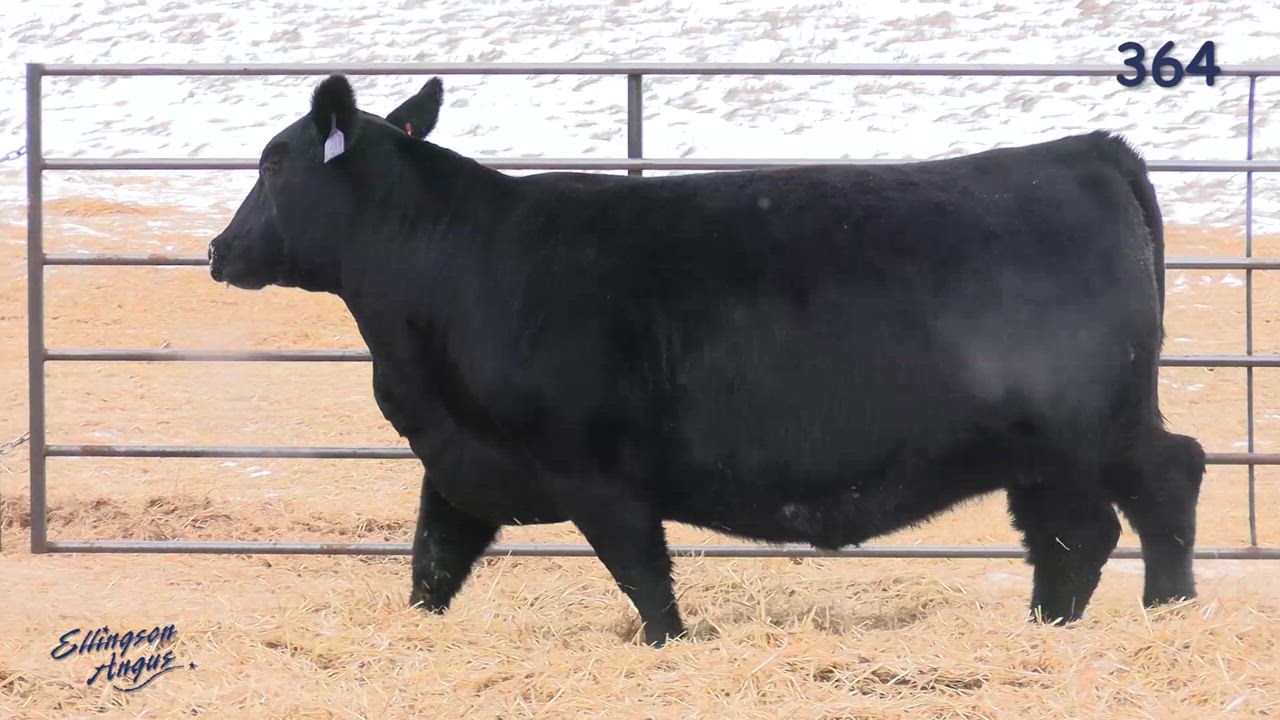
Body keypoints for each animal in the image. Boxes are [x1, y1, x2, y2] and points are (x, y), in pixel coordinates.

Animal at [208, 75, 1205, 647]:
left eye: (271, 162)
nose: (219, 249)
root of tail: (1087, 151)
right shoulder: (458, 464)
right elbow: (431, 563)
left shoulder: (596, 470)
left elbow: (643, 573)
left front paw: (673, 646)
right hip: (1051, 447)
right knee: (1084, 531)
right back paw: (1056, 629)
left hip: (1094, 427)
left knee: (1155, 487)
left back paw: (1167, 612)